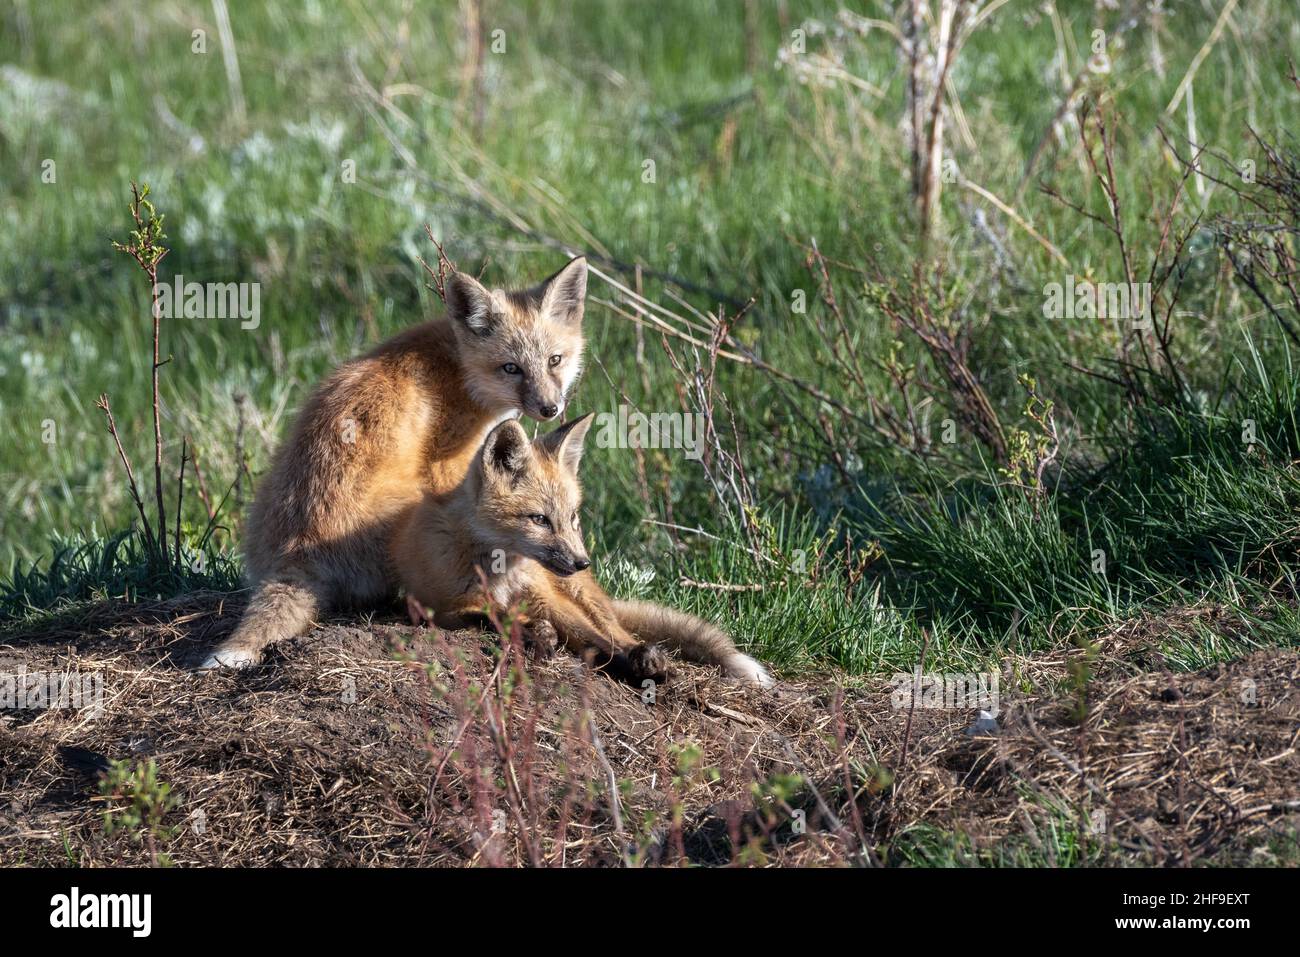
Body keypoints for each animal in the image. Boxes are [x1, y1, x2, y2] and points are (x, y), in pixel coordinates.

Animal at [200, 257, 590, 671]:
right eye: (511, 368)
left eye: (554, 360)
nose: (550, 409)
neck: (459, 370)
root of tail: (295, 551)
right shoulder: (449, 467)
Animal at [392, 413, 774, 687]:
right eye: (540, 519)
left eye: (572, 517)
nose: (581, 561)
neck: (502, 573)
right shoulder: (438, 608)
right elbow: (490, 616)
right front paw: (534, 634)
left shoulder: (549, 599)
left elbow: (597, 640)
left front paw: (635, 663)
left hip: (580, 595)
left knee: (617, 630)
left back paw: (647, 654)